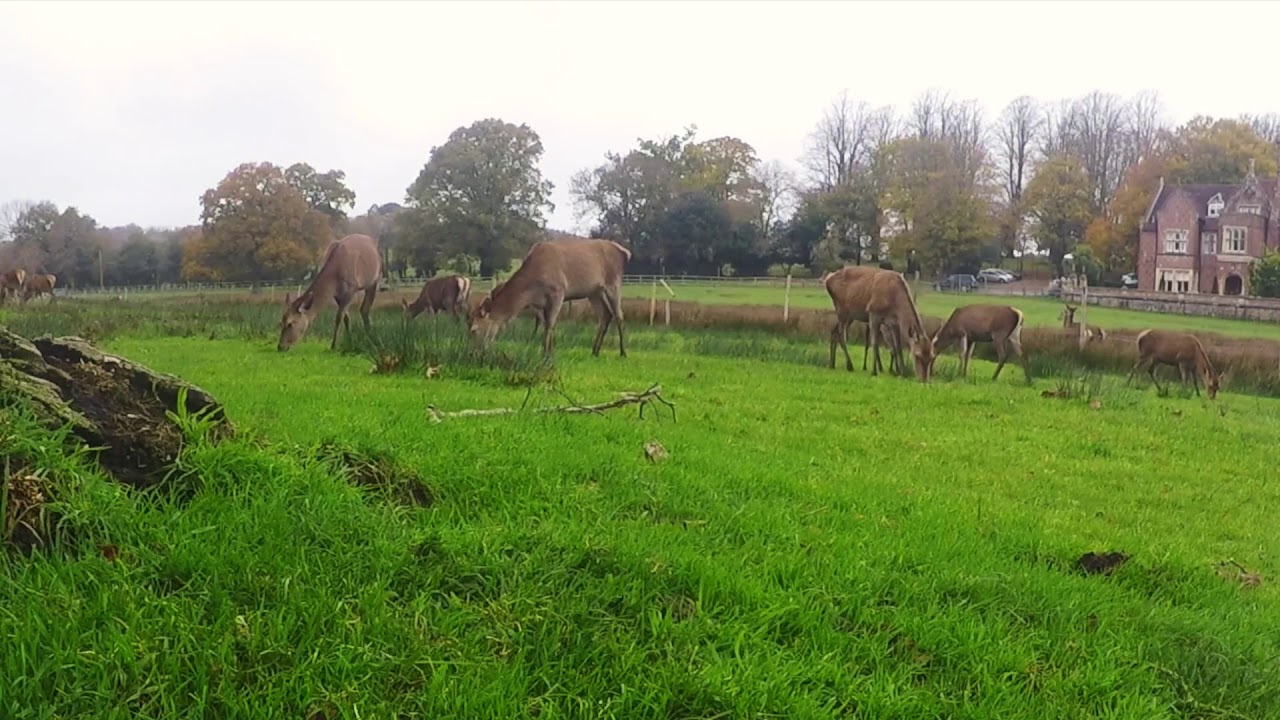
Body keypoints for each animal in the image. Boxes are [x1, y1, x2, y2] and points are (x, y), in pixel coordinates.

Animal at [468, 238, 630, 361]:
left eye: (474, 330)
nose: (474, 353)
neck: (529, 294)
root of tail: (625, 252)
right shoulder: (539, 304)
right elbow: (545, 324)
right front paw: (550, 353)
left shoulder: (558, 291)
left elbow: (550, 324)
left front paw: (545, 355)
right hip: (594, 292)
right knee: (606, 315)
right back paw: (595, 351)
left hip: (613, 283)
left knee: (619, 315)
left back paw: (623, 352)